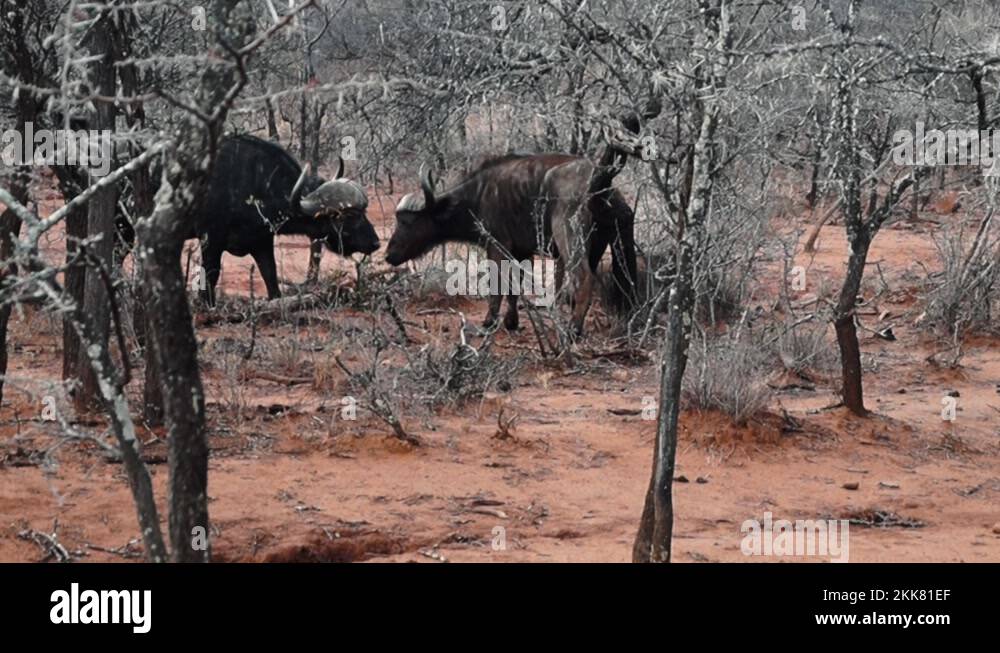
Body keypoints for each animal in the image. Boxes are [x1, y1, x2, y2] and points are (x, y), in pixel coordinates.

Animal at [384, 153, 637, 336]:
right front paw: (511, 321)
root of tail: (601, 187)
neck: (478, 196)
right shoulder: (522, 252)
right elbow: (515, 285)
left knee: (584, 278)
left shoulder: (496, 246)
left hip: (569, 239)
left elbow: (497, 284)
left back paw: (574, 328)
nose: (388, 254)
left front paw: (489, 321)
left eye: (406, 221)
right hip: (611, 243)